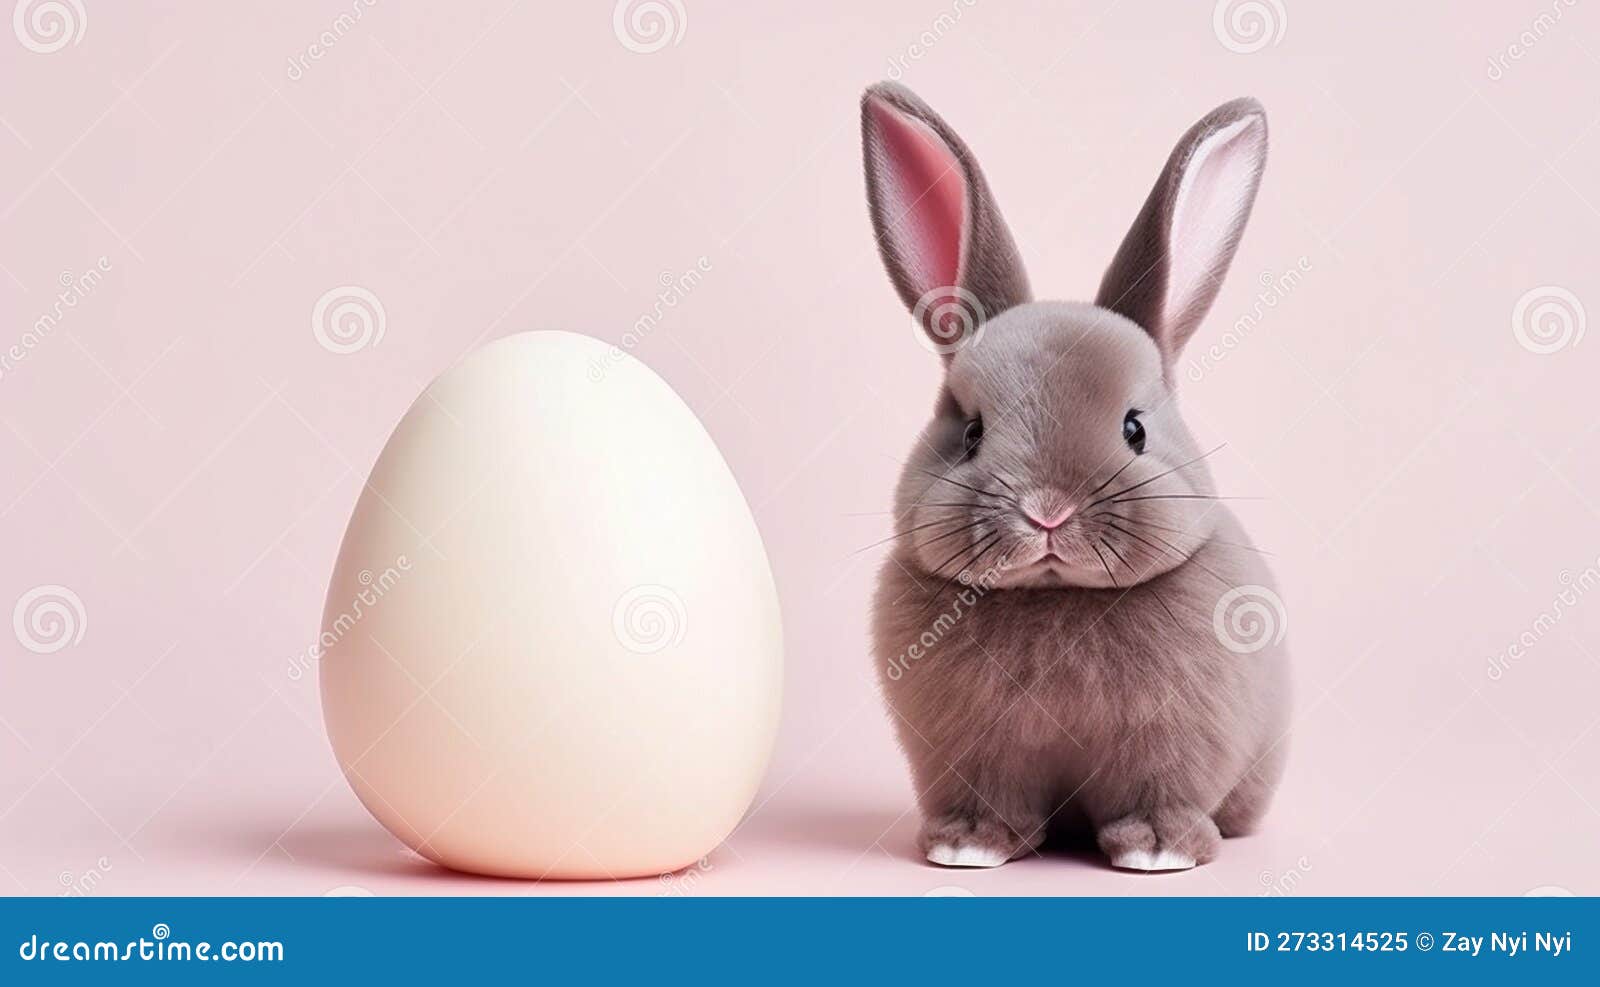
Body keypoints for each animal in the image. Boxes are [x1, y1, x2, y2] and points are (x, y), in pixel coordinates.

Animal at [862, 81, 1290, 872]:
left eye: (1135, 429)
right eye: (972, 434)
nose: (1048, 510)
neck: (1056, 595)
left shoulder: (1172, 749)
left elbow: (1159, 795)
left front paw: (1157, 851)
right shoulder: (975, 756)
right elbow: (990, 801)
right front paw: (967, 846)